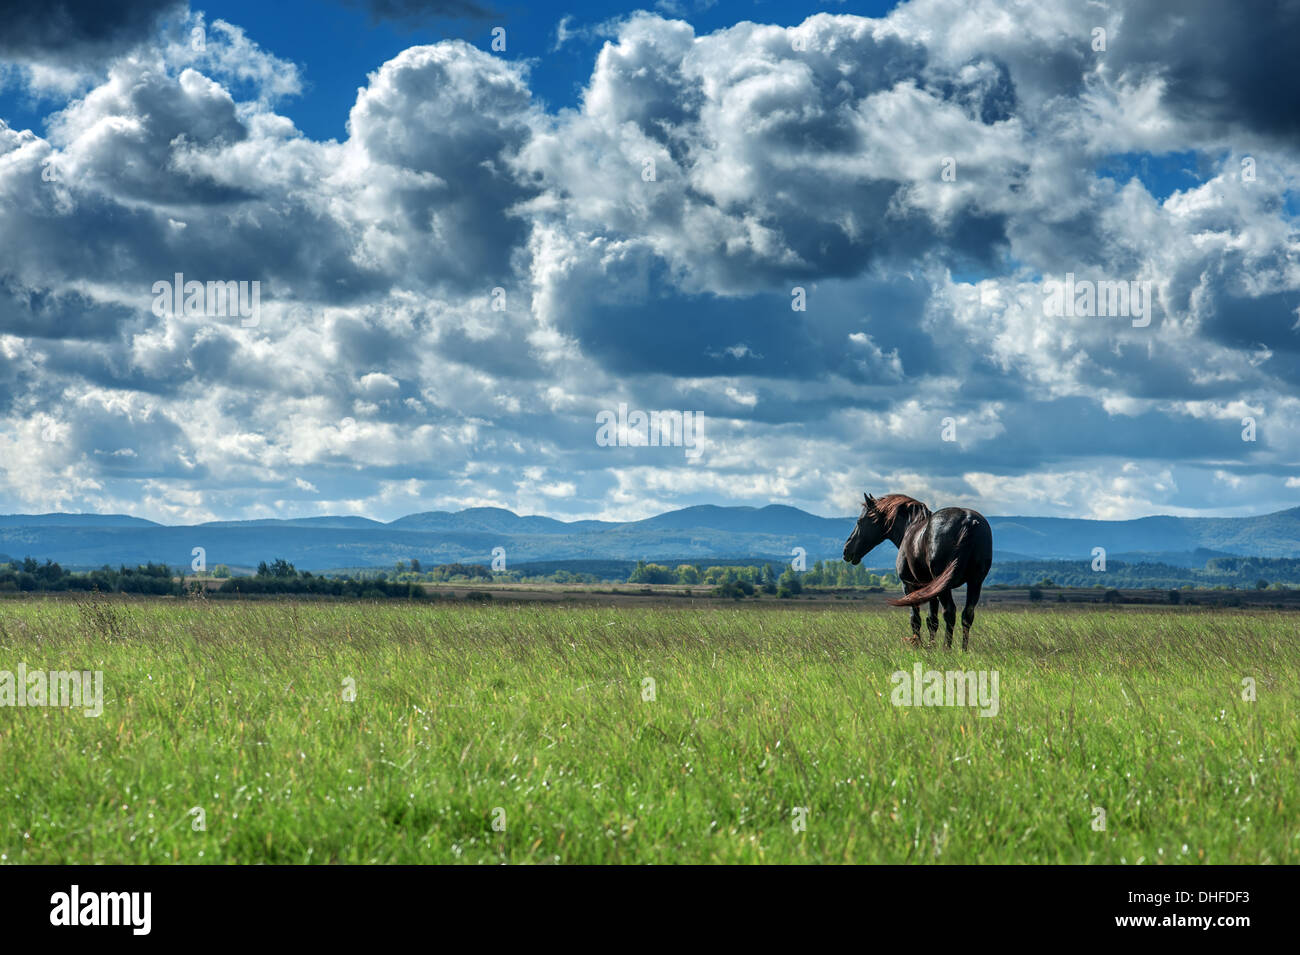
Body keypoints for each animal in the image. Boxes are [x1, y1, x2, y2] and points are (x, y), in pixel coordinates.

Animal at [842, 493, 993, 650]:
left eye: (860, 521)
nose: (846, 550)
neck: (909, 528)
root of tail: (969, 521)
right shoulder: (931, 589)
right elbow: (932, 620)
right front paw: (931, 646)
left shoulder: (908, 585)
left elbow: (915, 619)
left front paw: (918, 644)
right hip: (975, 582)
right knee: (967, 615)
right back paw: (964, 650)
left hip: (945, 586)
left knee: (950, 613)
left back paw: (947, 648)